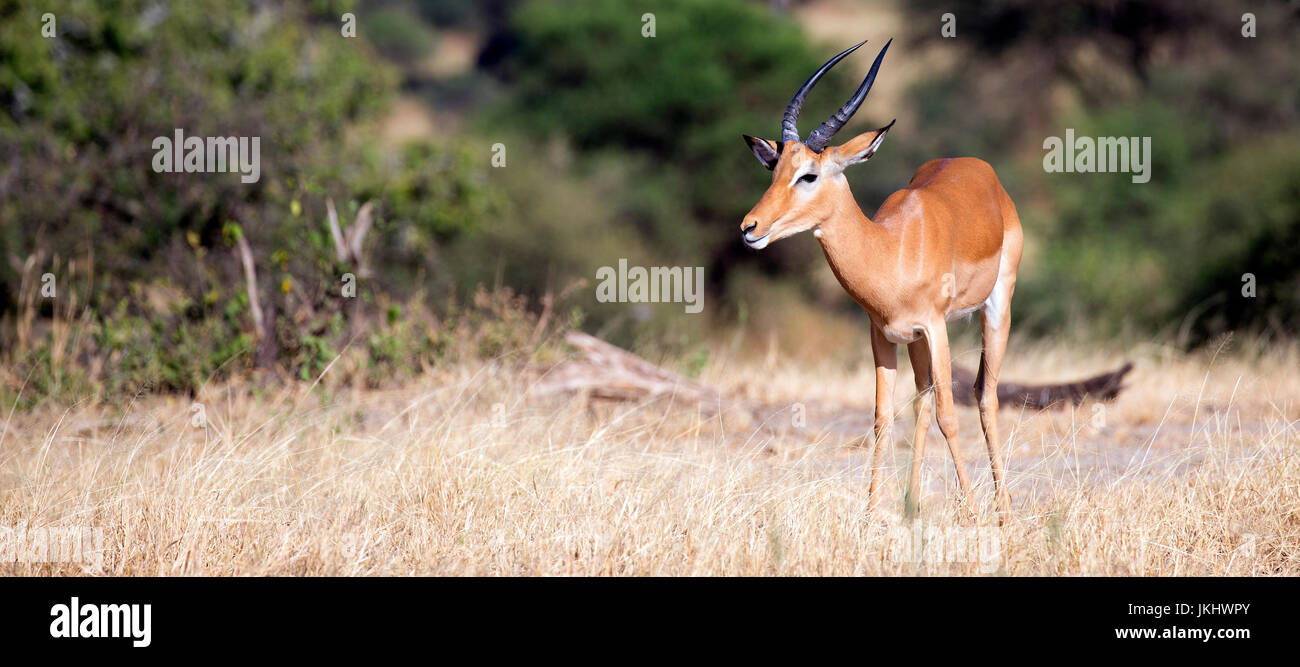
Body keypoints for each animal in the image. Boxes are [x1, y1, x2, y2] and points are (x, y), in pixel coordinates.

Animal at [740, 39, 1022, 520]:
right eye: (773, 171)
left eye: (809, 175)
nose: (749, 227)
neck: (890, 251)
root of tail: (983, 171)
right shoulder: (884, 335)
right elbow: (883, 418)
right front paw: (871, 514)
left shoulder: (936, 327)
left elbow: (950, 413)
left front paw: (970, 511)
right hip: (915, 343)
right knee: (923, 401)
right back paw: (913, 505)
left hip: (995, 309)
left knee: (985, 395)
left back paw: (1002, 510)